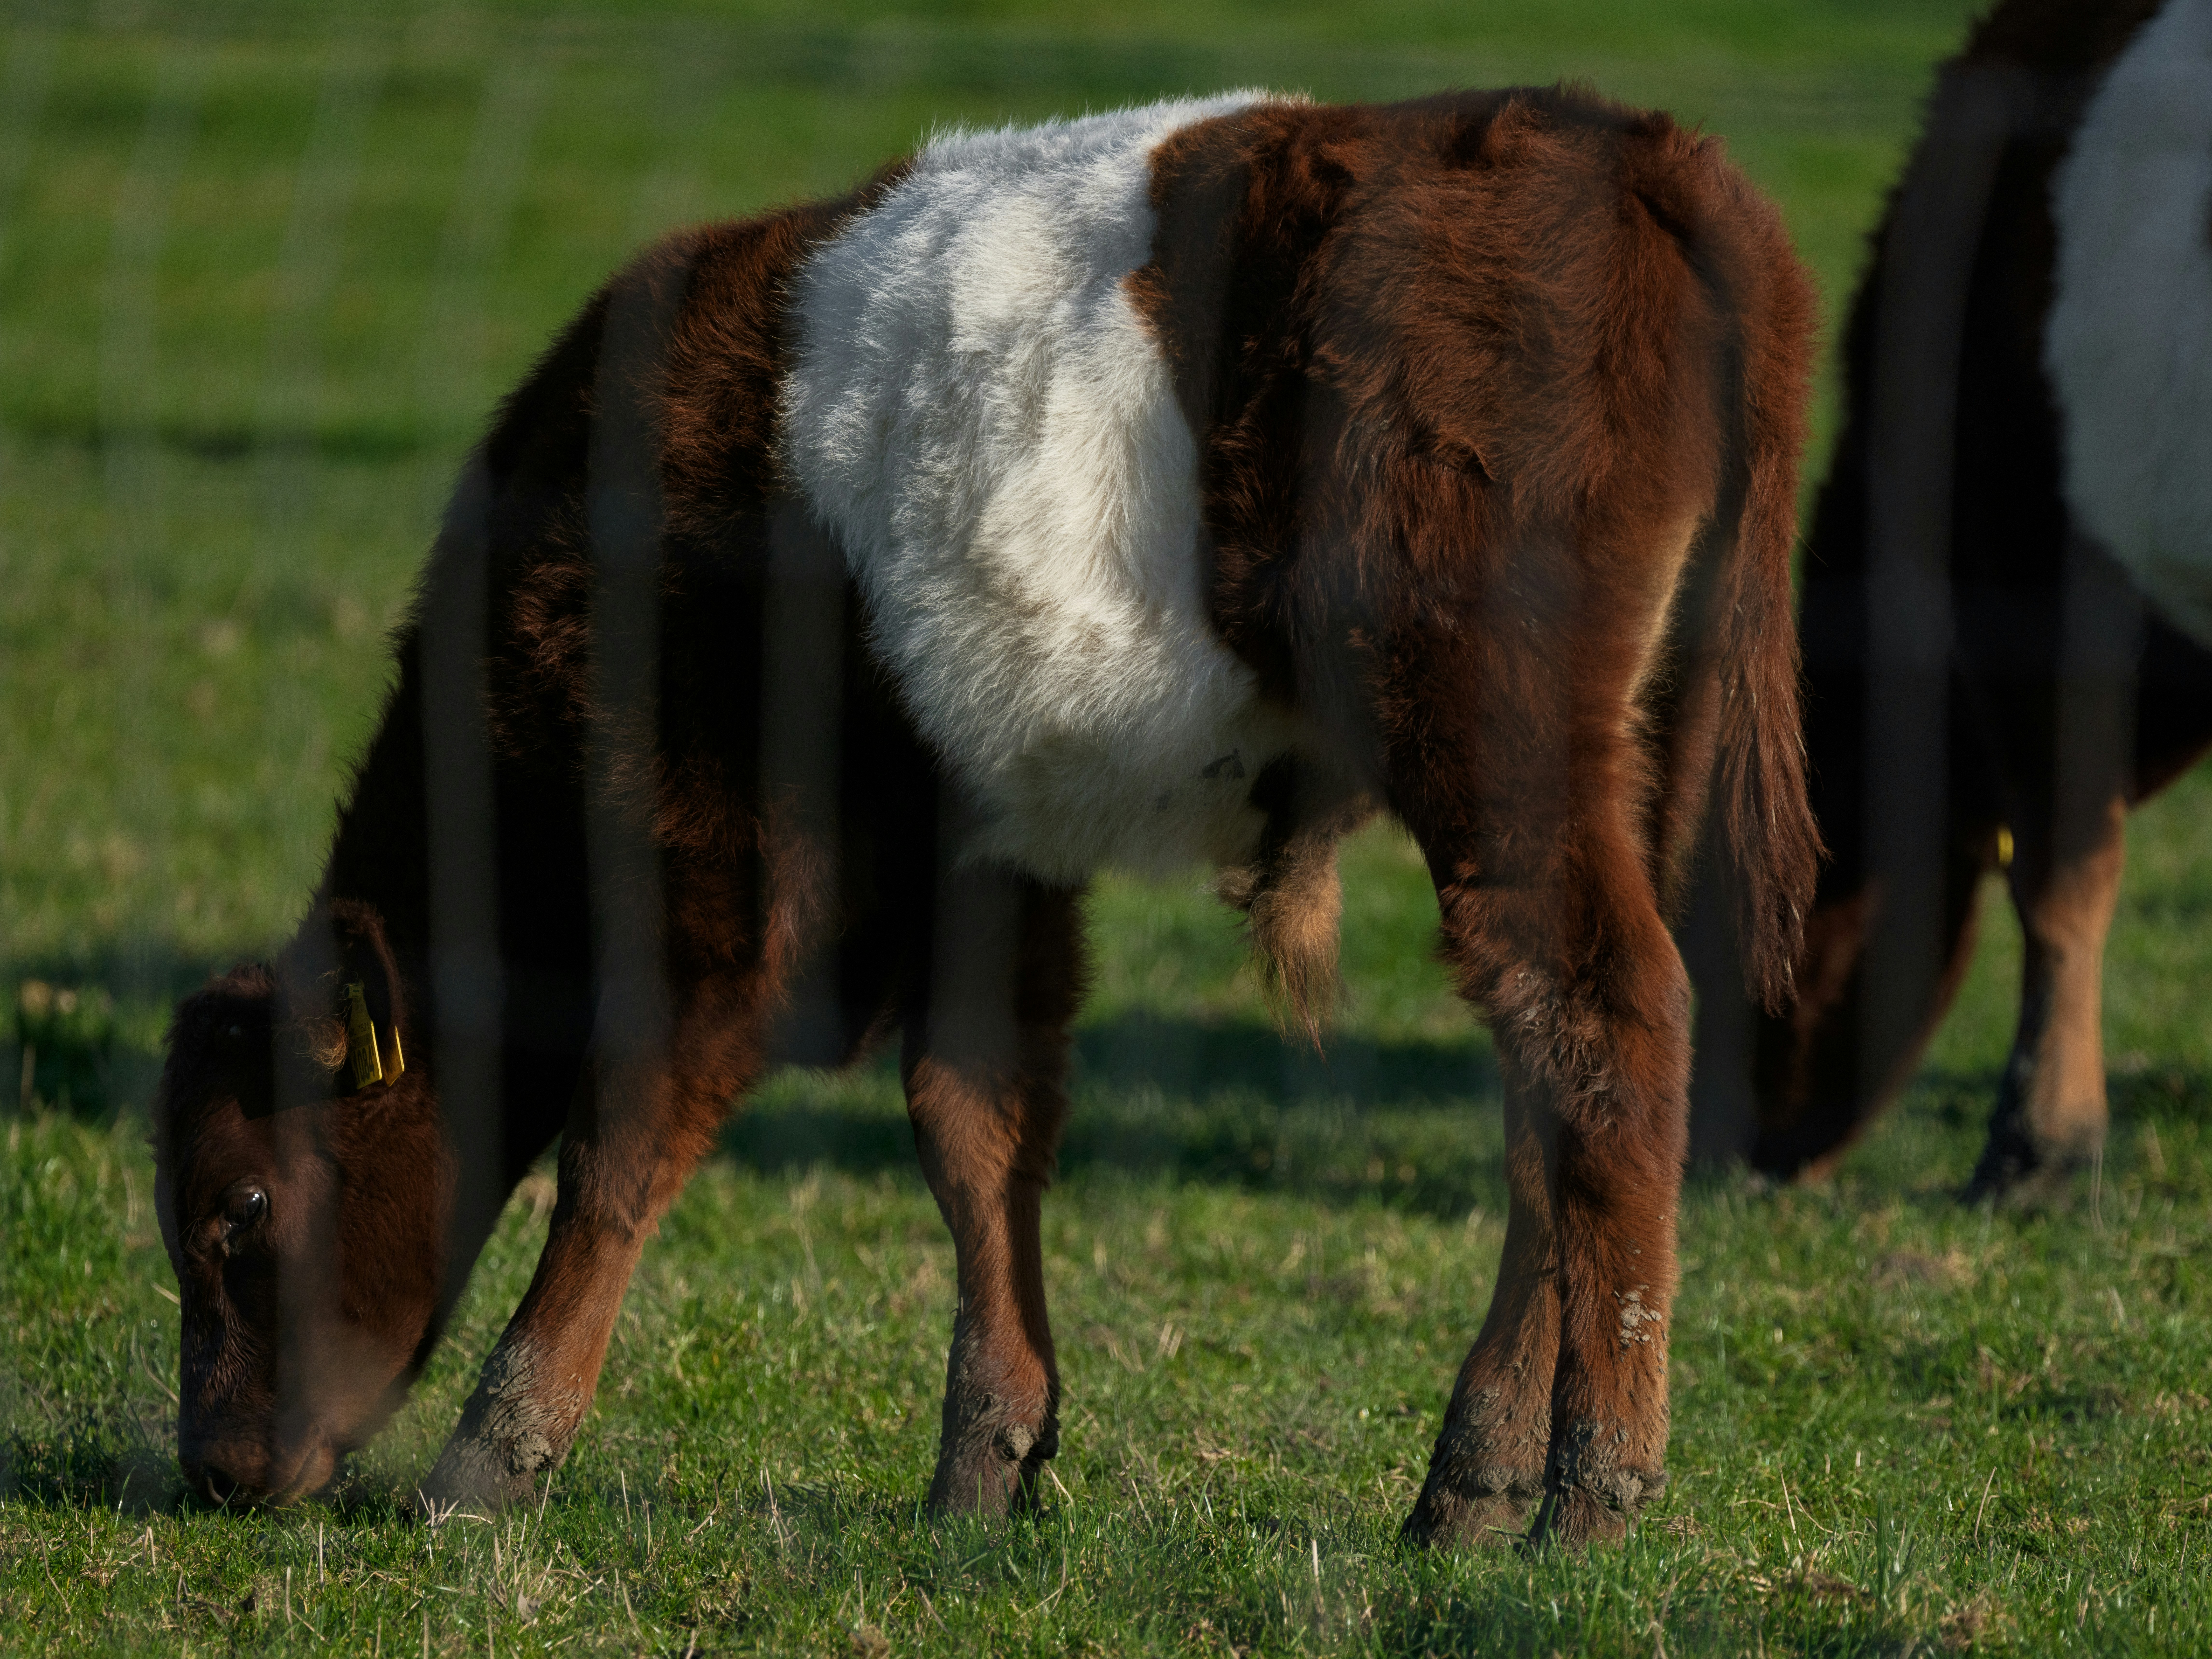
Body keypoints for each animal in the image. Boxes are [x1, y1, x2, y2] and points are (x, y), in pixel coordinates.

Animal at [151, 86, 1818, 1549]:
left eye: (240, 1204)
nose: (219, 1466)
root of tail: (1632, 146)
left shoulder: (713, 856)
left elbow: (622, 1140)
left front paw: (490, 1457)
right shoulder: (983, 848)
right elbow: (979, 1121)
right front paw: (984, 1458)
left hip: (1492, 745)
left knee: (1605, 1032)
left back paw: (1592, 1488)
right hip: (1598, 770)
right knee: (1550, 1095)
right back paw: (1470, 1483)